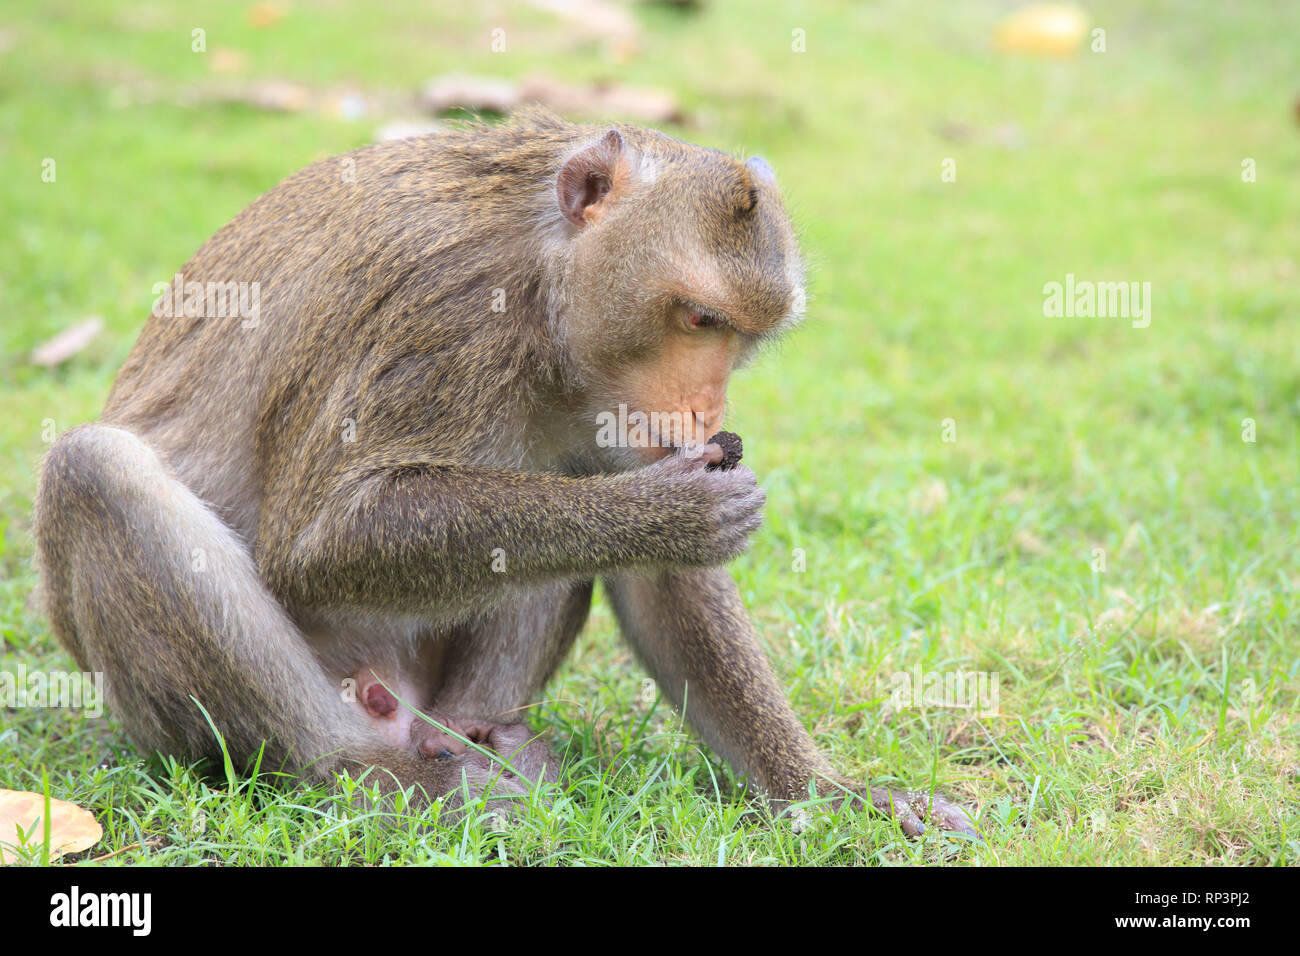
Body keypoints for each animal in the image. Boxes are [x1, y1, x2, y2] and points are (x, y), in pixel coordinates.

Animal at [32, 107, 977, 838]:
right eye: (699, 318)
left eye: (741, 335)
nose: (707, 411)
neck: (539, 283)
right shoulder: (442, 304)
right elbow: (321, 538)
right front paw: (667, 511)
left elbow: (661, 586)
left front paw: (829, 794)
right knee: (94, 471)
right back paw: (371, 775)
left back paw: (483, 740)